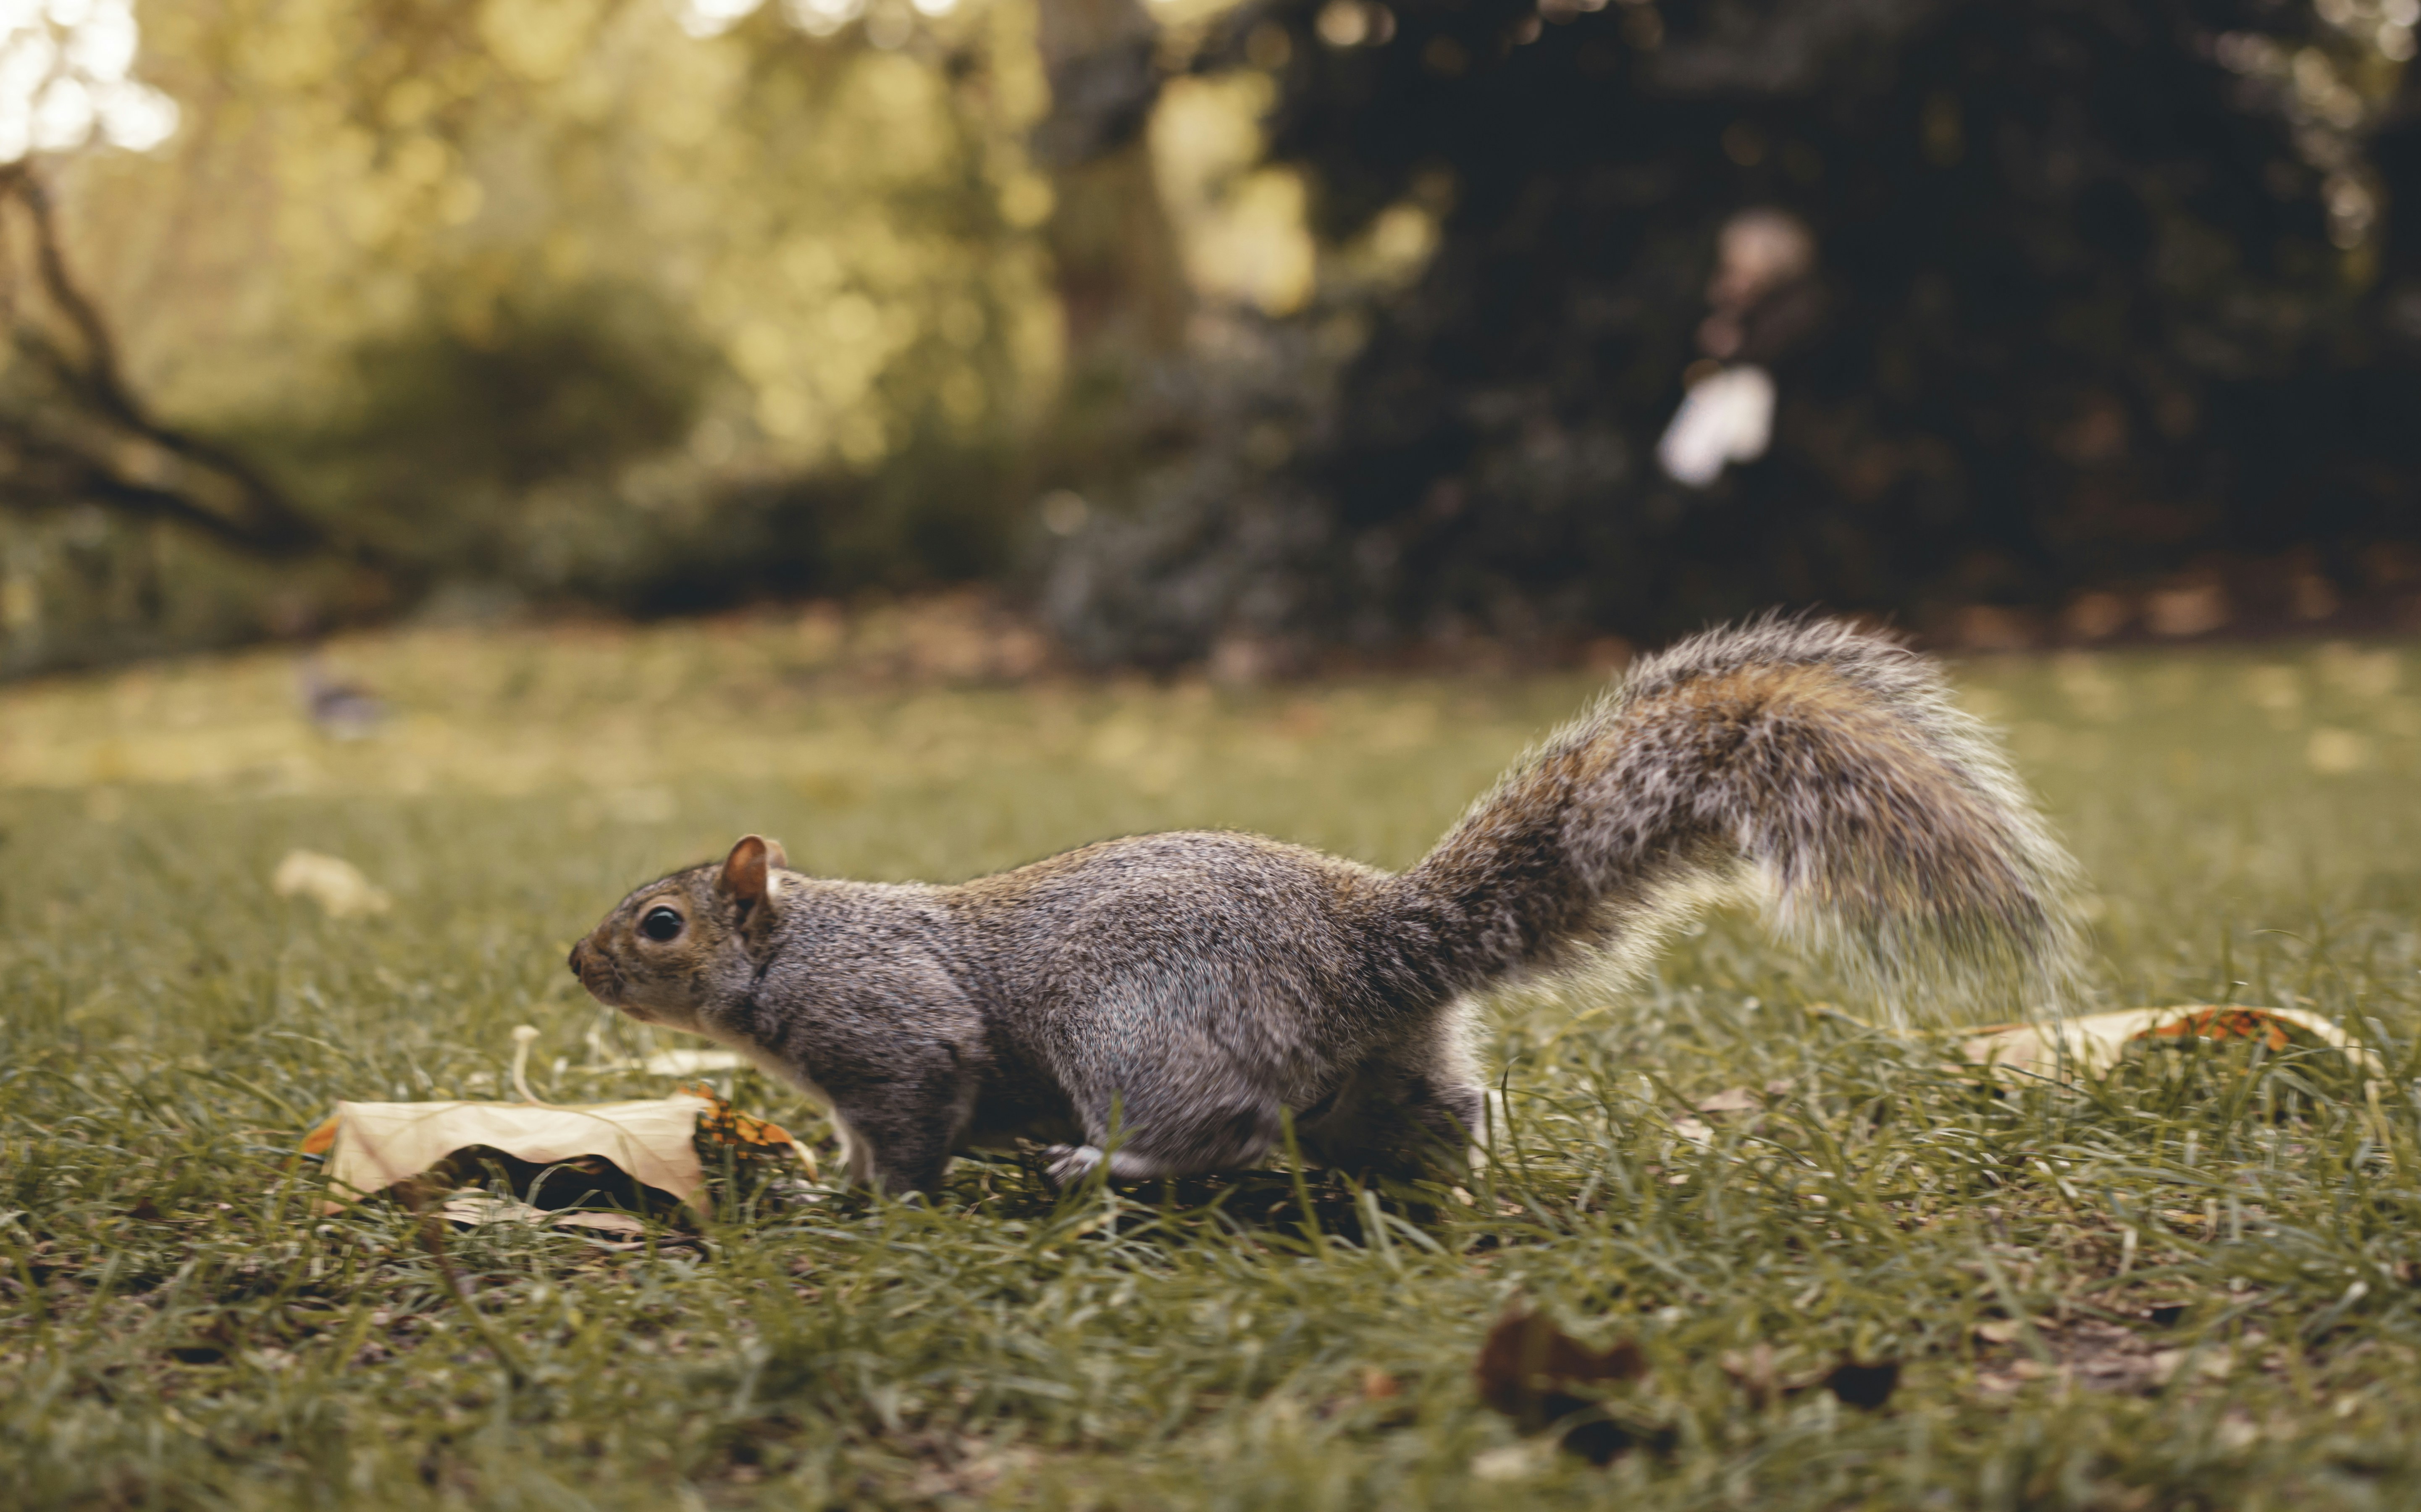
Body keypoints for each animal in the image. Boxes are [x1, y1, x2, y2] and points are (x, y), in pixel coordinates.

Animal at [568, 616, 2080, 1196]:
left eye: (661, 924)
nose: (576, 963)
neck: (794, 950)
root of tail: (1371, 949)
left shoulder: (891, 1029)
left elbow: (906, 1122)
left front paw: (860, 1202)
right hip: (1389, 1059)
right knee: (1437, 1111)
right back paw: (1421, 1178)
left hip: (1134, 1032)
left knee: (1216, 1129)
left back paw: (1106, 1169)